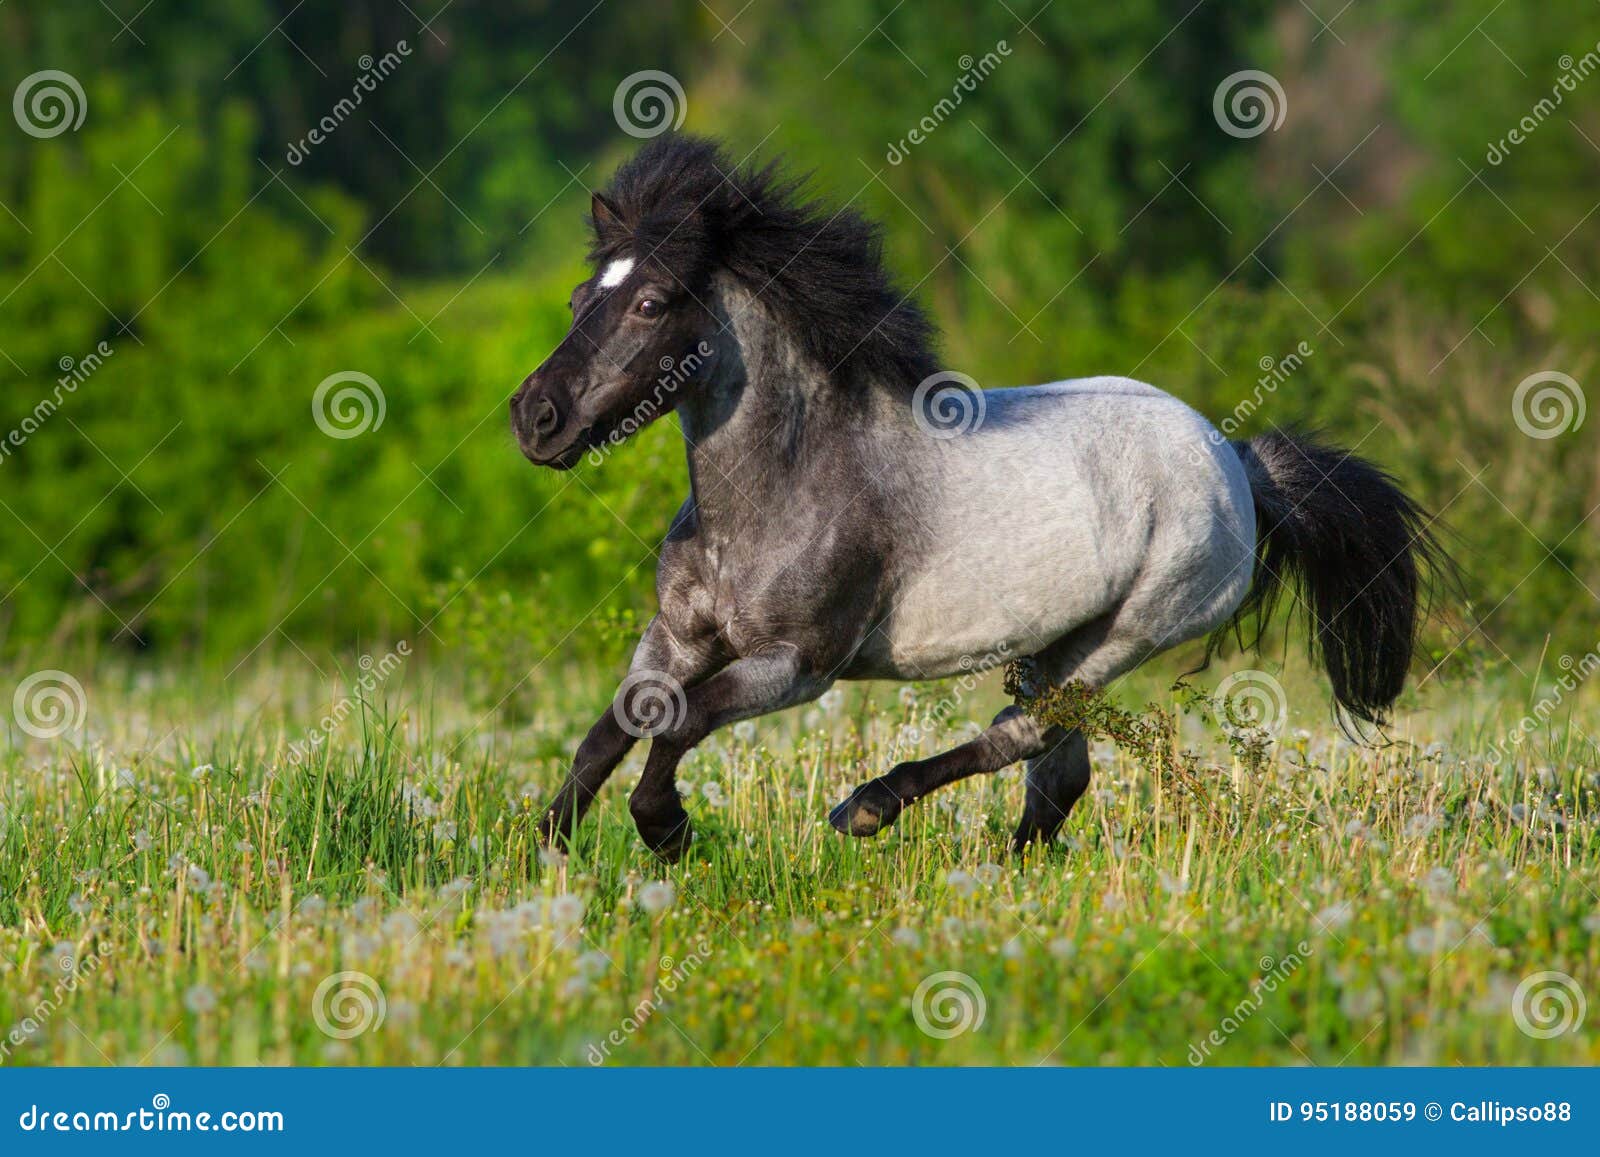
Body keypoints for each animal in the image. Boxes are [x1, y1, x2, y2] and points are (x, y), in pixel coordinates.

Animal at [510, 134, 1451, 862]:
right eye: (580, 296)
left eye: (650, 301)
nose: (535, 417)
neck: (778, 492)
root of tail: (1237, 463)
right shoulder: (677, 635)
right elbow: (623, 718)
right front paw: (544, 848)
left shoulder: (796, 665)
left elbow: (680, 723)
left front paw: (667, 830)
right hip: (1060, 640)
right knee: (1059, 770)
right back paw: (1005, 874)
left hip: (1127, 634)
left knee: (1023, 736)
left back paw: (867, 808)